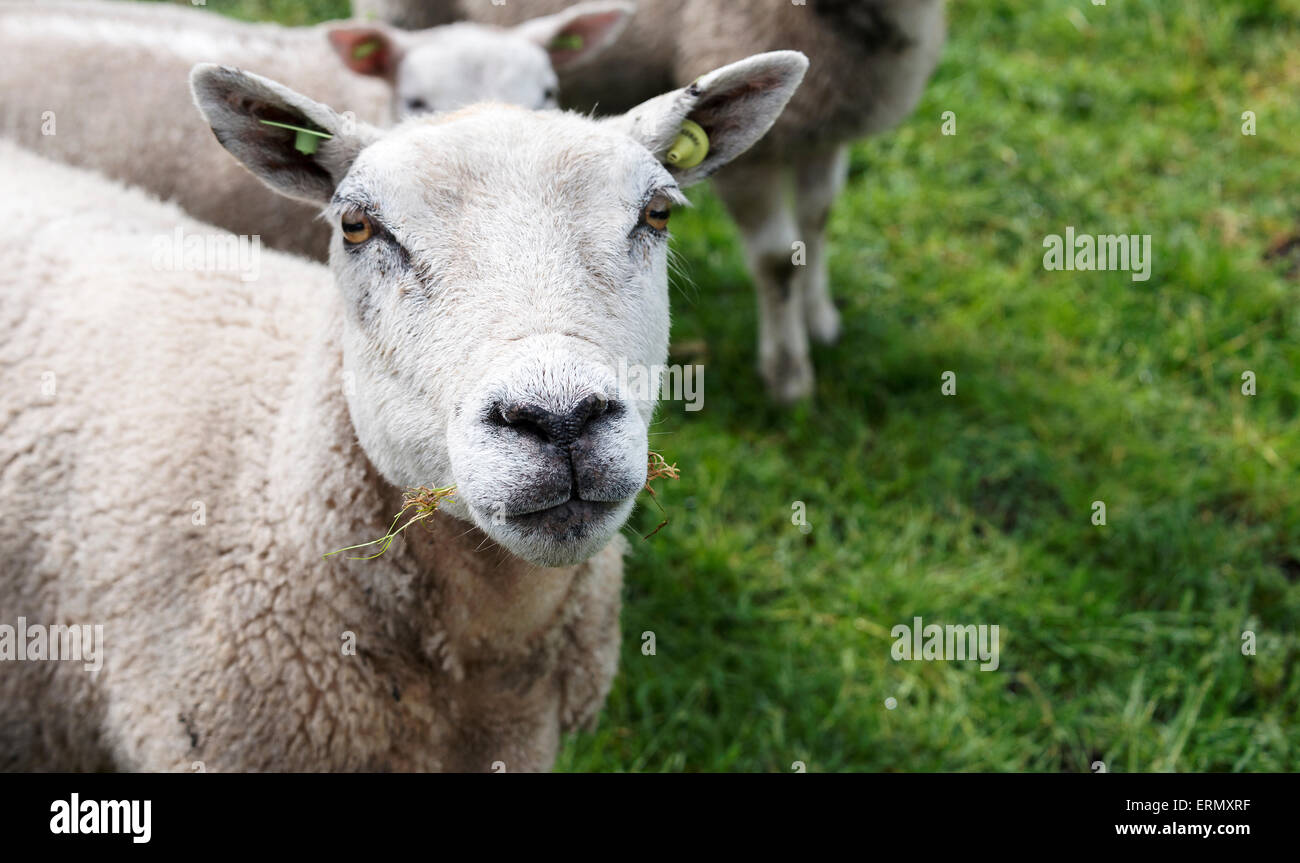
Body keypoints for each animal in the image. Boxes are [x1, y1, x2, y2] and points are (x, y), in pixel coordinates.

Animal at [356, 0, 947, 402]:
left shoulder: (823, 128)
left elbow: (817, 219)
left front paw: (819, 316)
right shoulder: (753, 156)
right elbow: (777, 260)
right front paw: (788, 374)